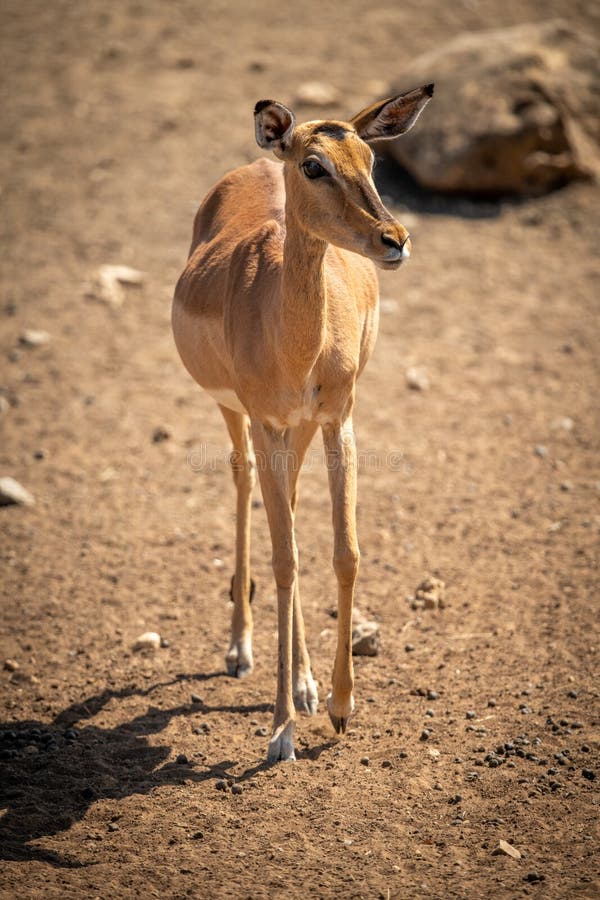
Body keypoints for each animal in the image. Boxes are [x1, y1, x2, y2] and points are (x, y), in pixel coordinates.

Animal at [172, 85, 434, 762]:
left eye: (371, 158)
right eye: (314, 165)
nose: (394, 239)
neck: (293, 342)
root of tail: (257, 163)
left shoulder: (340, 418)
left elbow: (345, 552)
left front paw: (339, 706)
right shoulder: (266, 421)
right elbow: (285, 560)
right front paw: (281, 731)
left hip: (302, 430)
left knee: (285, 504)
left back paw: (308, 684)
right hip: (238, 416)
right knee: (245, 487)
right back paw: (241, 650)